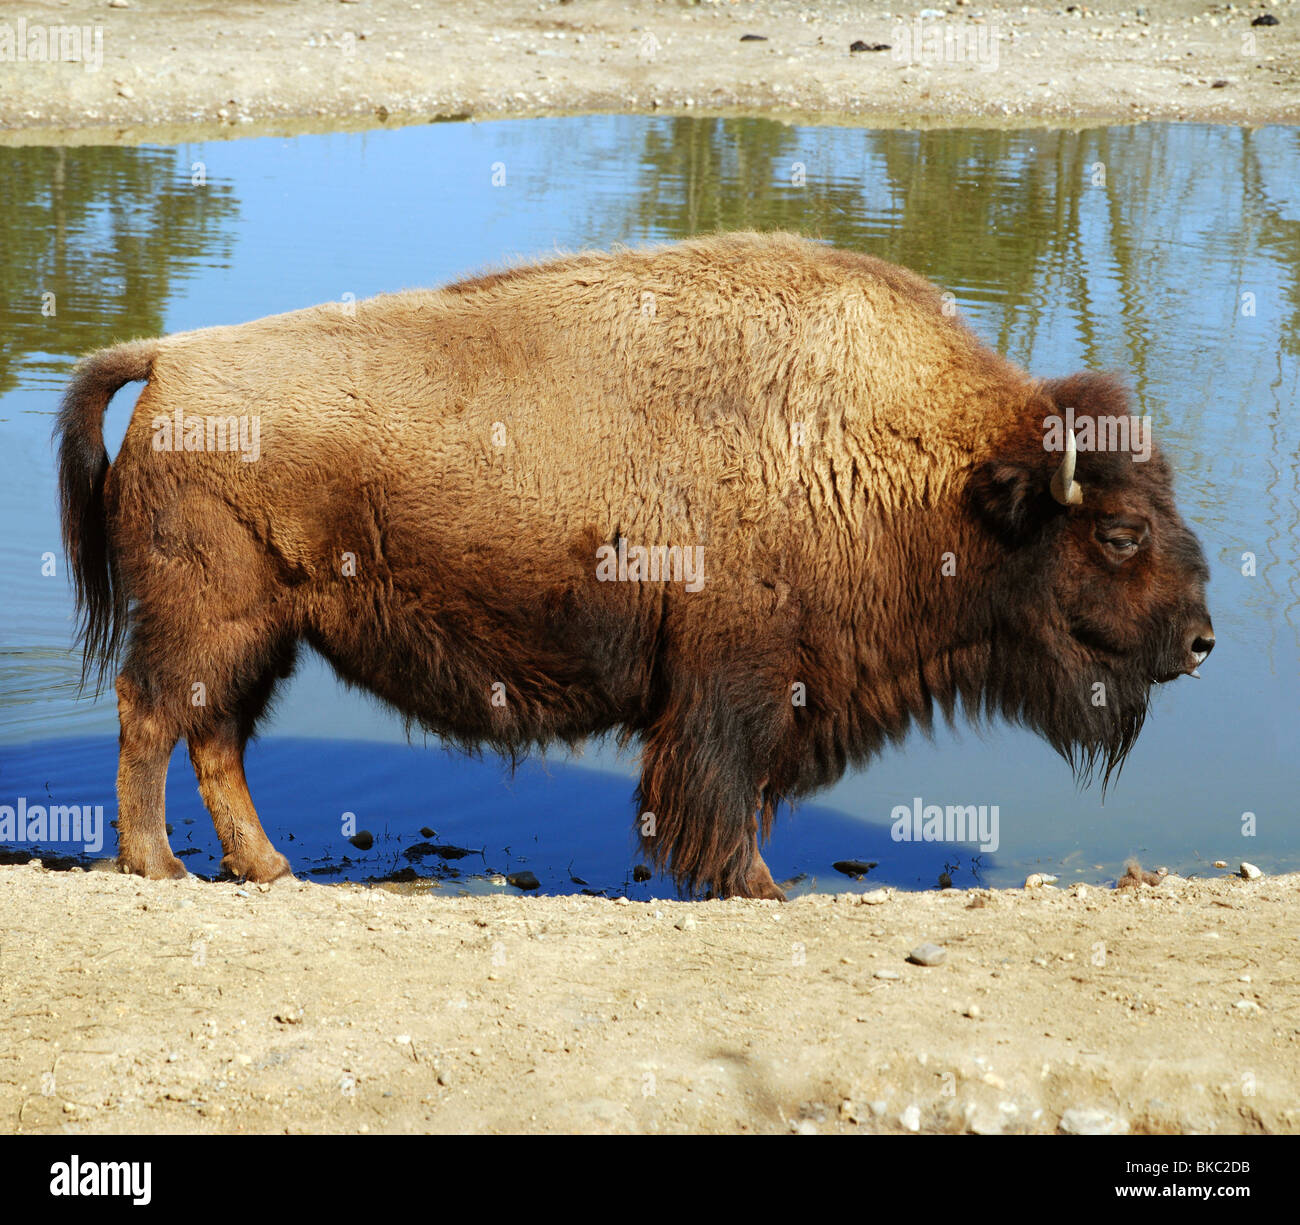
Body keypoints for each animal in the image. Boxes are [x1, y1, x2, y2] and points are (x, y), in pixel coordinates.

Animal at [56, 232, 1214, 898]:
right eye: (1120, 534)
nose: (1201, 640)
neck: (920, 460)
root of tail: (169, 359)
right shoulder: (732, 689)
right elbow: (725, 796)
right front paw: (756, 887)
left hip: (263, 636)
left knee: (213, 736)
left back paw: (266, 867)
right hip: (208, 623)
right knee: (153, 715)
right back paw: (156, 862)